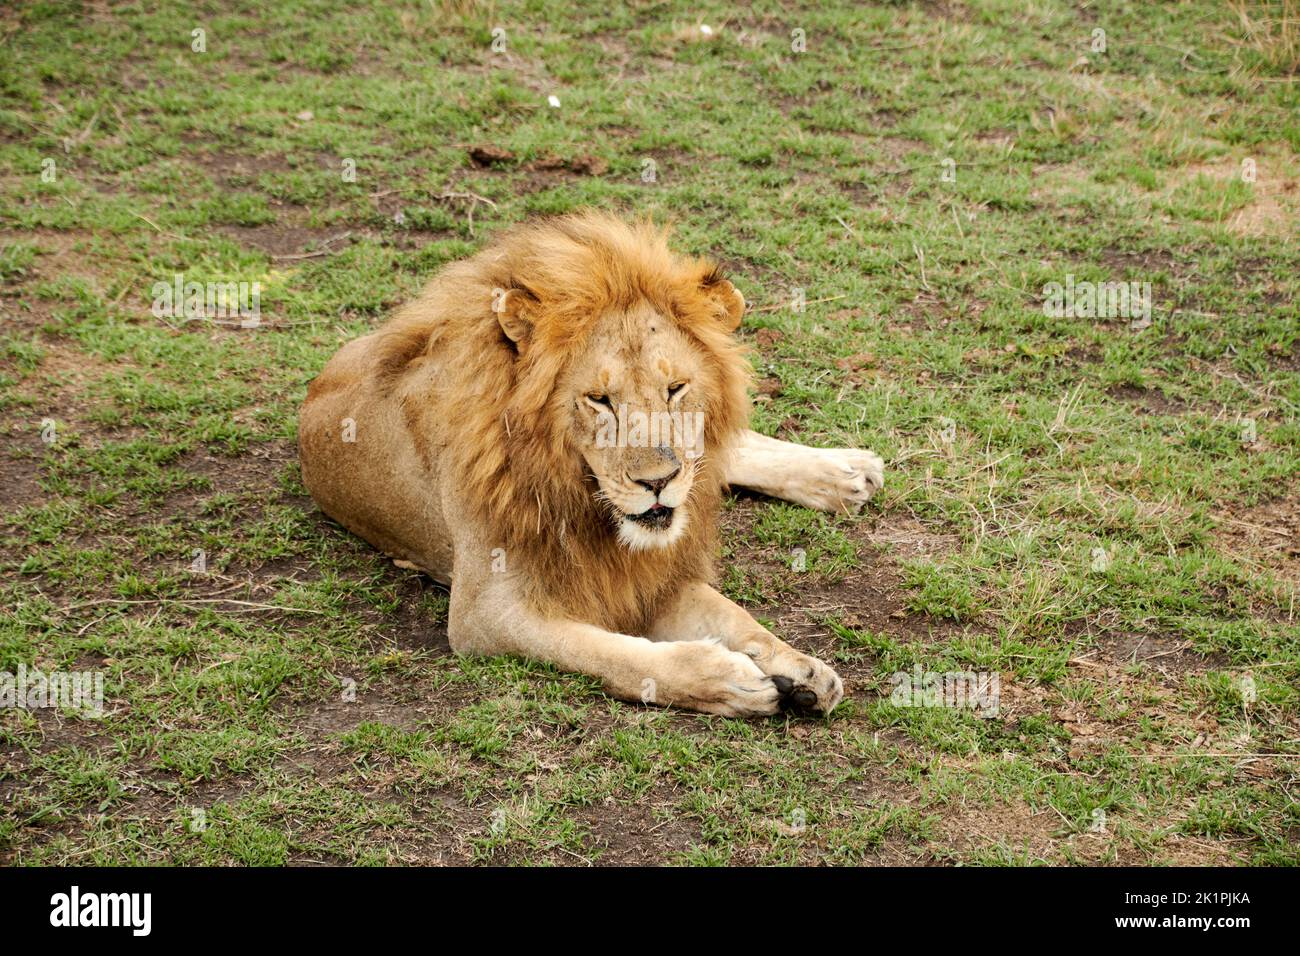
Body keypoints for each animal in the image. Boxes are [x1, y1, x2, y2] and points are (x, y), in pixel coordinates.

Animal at [298, 212, 884, 717]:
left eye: (675, 389)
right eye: (599, 400)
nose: (658, 482)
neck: (583, 499)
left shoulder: (656, 574)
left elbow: (737, 619)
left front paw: (802, 670)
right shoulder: (483, 614)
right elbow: (611, 653)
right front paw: (728, 679)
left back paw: (844, 471)